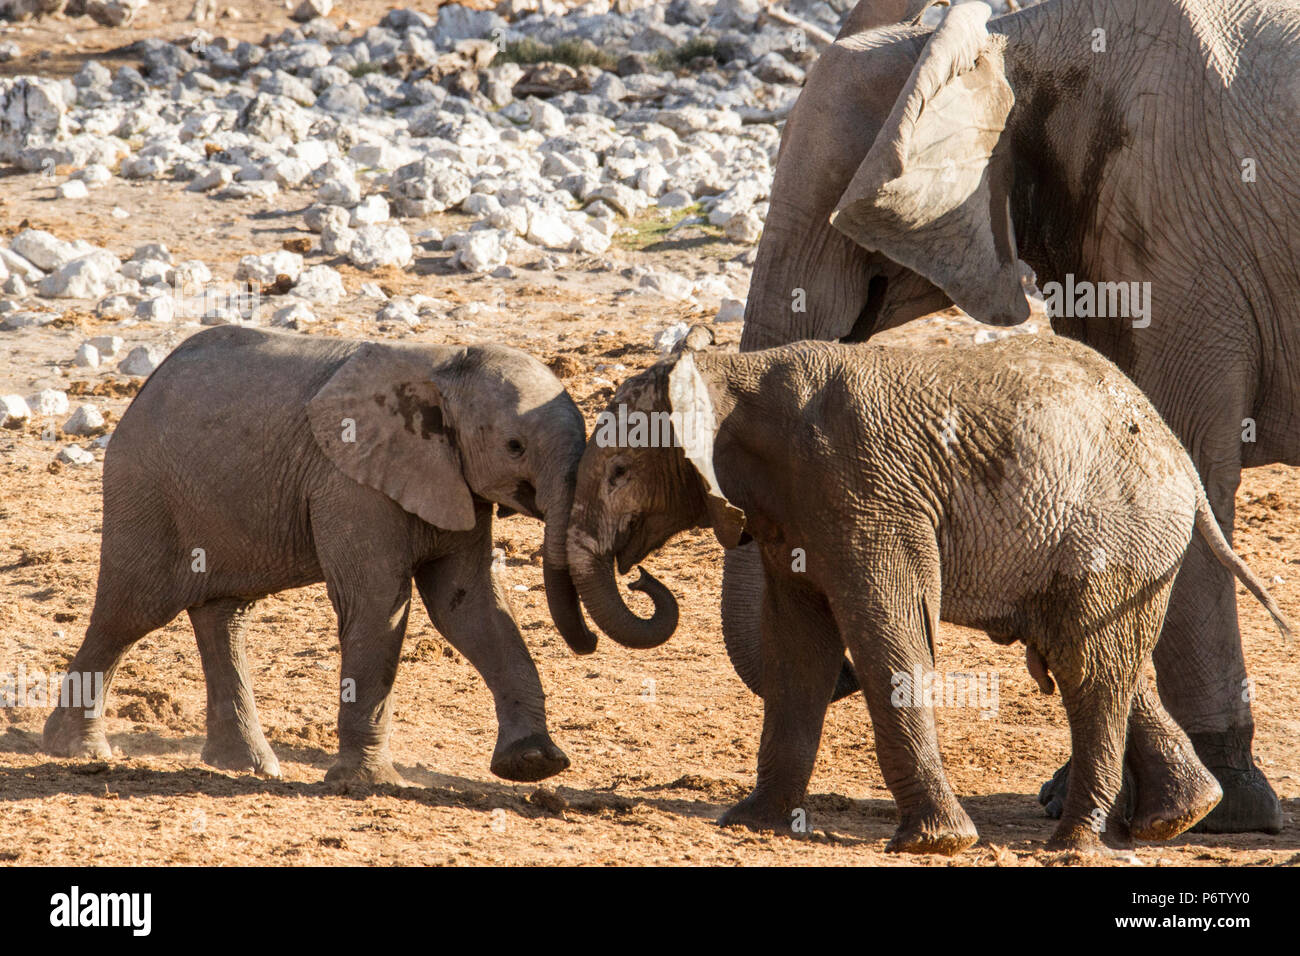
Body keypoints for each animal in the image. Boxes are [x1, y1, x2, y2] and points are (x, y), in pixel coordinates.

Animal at [43, 326, 597, 786]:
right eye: (515, 446)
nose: (589, 642)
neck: (445, 362)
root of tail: (146, 386)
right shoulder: (350, 481)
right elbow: (377, 604)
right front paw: (368, 784)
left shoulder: (454, 482)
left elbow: (468, 606)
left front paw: (534, 765)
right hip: (146, 490)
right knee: (131, 611)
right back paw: (78, 752)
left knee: (223, 616)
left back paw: (248, 767)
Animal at [566, 335, 1290, 853]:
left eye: (620, 471)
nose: (641, 578)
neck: (729, 372)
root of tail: (1177, 454)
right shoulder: (796, 512)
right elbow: (798, 651)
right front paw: (746, 825)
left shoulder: (862, 489)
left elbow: (888, 633)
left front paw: (935, 845)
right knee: (1104, 663)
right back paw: (1175, 820)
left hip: (1119, 534)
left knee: (1088, 668)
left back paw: (1074, 846)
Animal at [727, 0, 1300, 833]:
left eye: (844, 221)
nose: (841, 671)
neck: (1016, 40)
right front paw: (1093, 802)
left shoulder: (1180, 239)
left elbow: (1187, 468)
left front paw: (1218, 810)